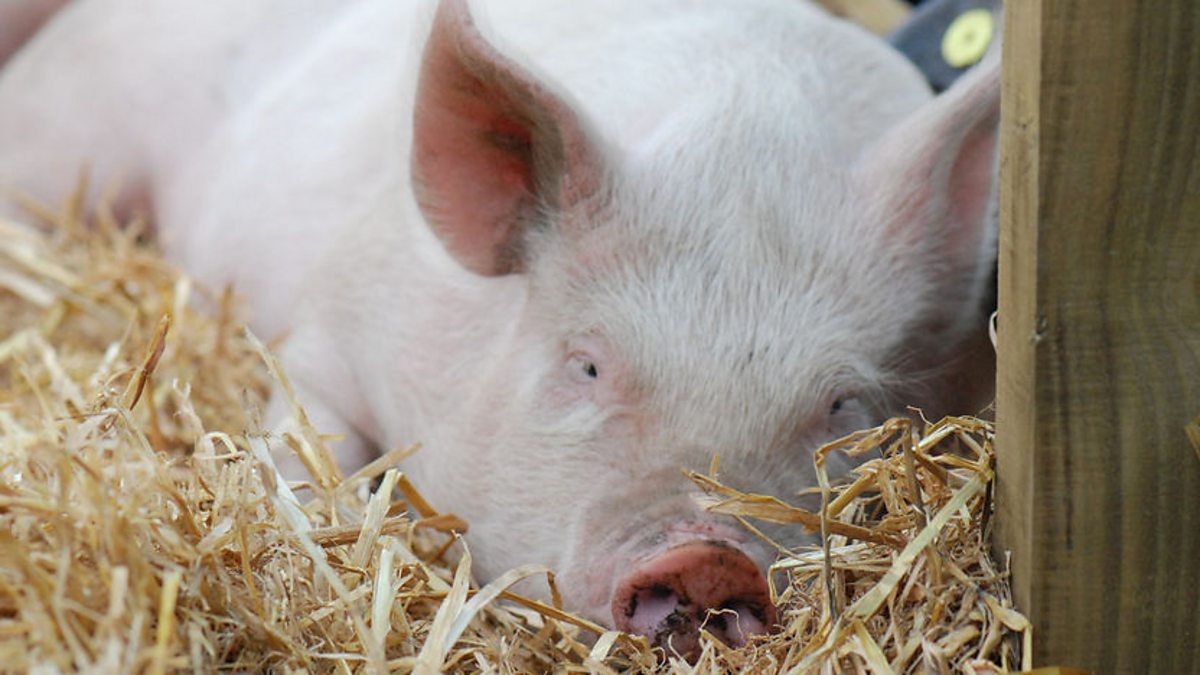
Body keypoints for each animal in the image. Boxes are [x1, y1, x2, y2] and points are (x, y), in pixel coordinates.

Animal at [0, 0, 1000, 657]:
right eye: (586, 364)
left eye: (842, 406)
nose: (711, 556)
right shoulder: (325, 332)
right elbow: (306, 451)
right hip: (63, 126)